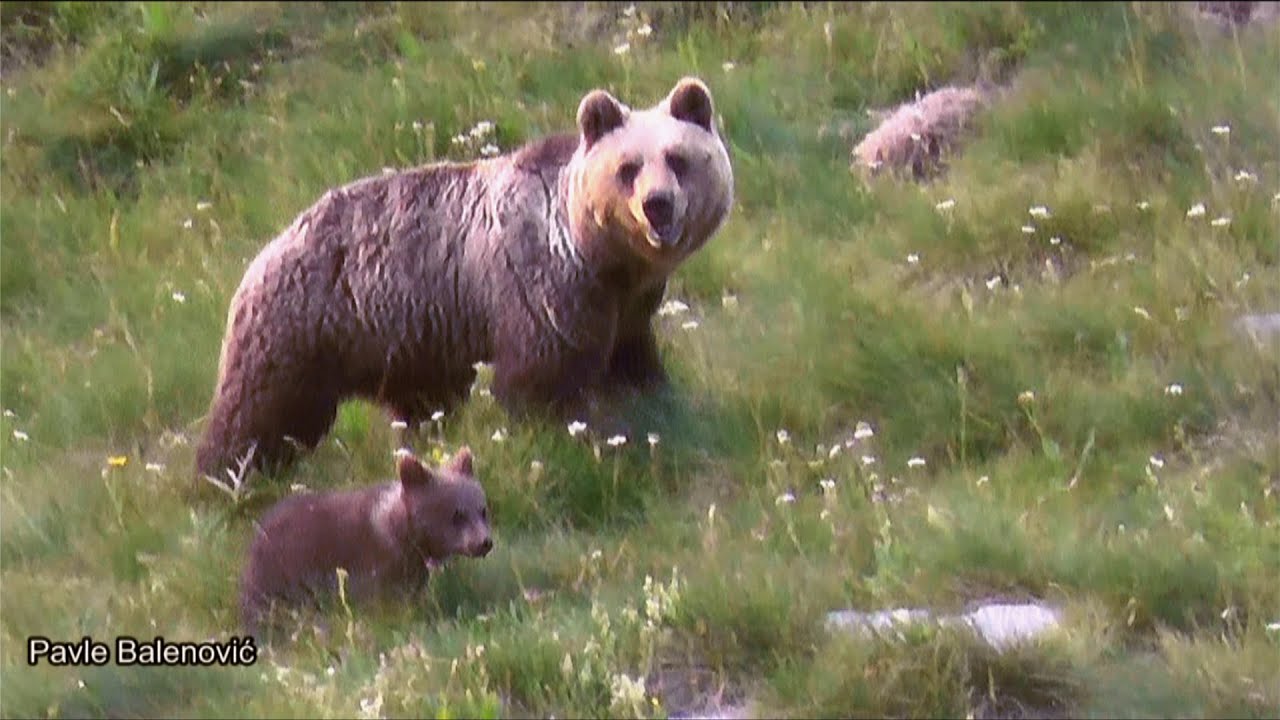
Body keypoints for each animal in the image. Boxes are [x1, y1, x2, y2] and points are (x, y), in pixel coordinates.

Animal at [195, 76, 734, 482]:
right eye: (628, 167)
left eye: (678, 158)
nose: (657, 204)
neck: (605, 259)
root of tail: (268, 247)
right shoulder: (544, 288)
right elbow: (540, 378)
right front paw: (563, 435)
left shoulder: (628, 307)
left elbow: (634, 364)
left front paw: (655, 405)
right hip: (304, 322)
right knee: (261, 409)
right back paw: (226, 477)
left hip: (410, 336)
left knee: (422, 399)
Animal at [238, 446, 492, 639]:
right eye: (456, 515)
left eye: (482, 510)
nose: (484, 542)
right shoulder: (370, 565)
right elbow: (379, 605)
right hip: (282, 576)